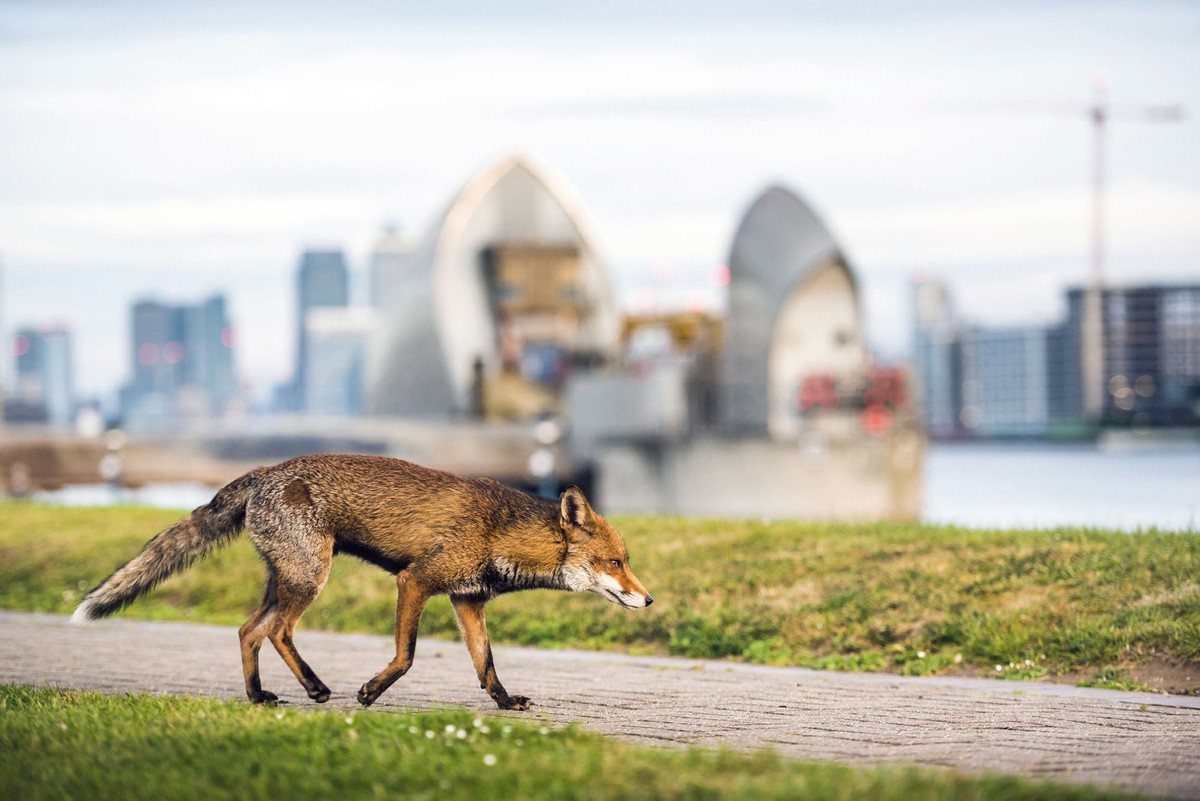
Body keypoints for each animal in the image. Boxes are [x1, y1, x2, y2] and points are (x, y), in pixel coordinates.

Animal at [72, 453, 652, 709]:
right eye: (615, 562)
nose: (648, 599)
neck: (498, 532)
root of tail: (262, 472)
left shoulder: (468, 600)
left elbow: (486, 665)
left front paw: (506, 704)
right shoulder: (416, 581)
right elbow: (407, 656)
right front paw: (371, 691)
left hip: (286, 579)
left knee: (247, 631)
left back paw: (259, 696)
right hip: (310, 578)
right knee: (277, 631)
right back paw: (314, 688)